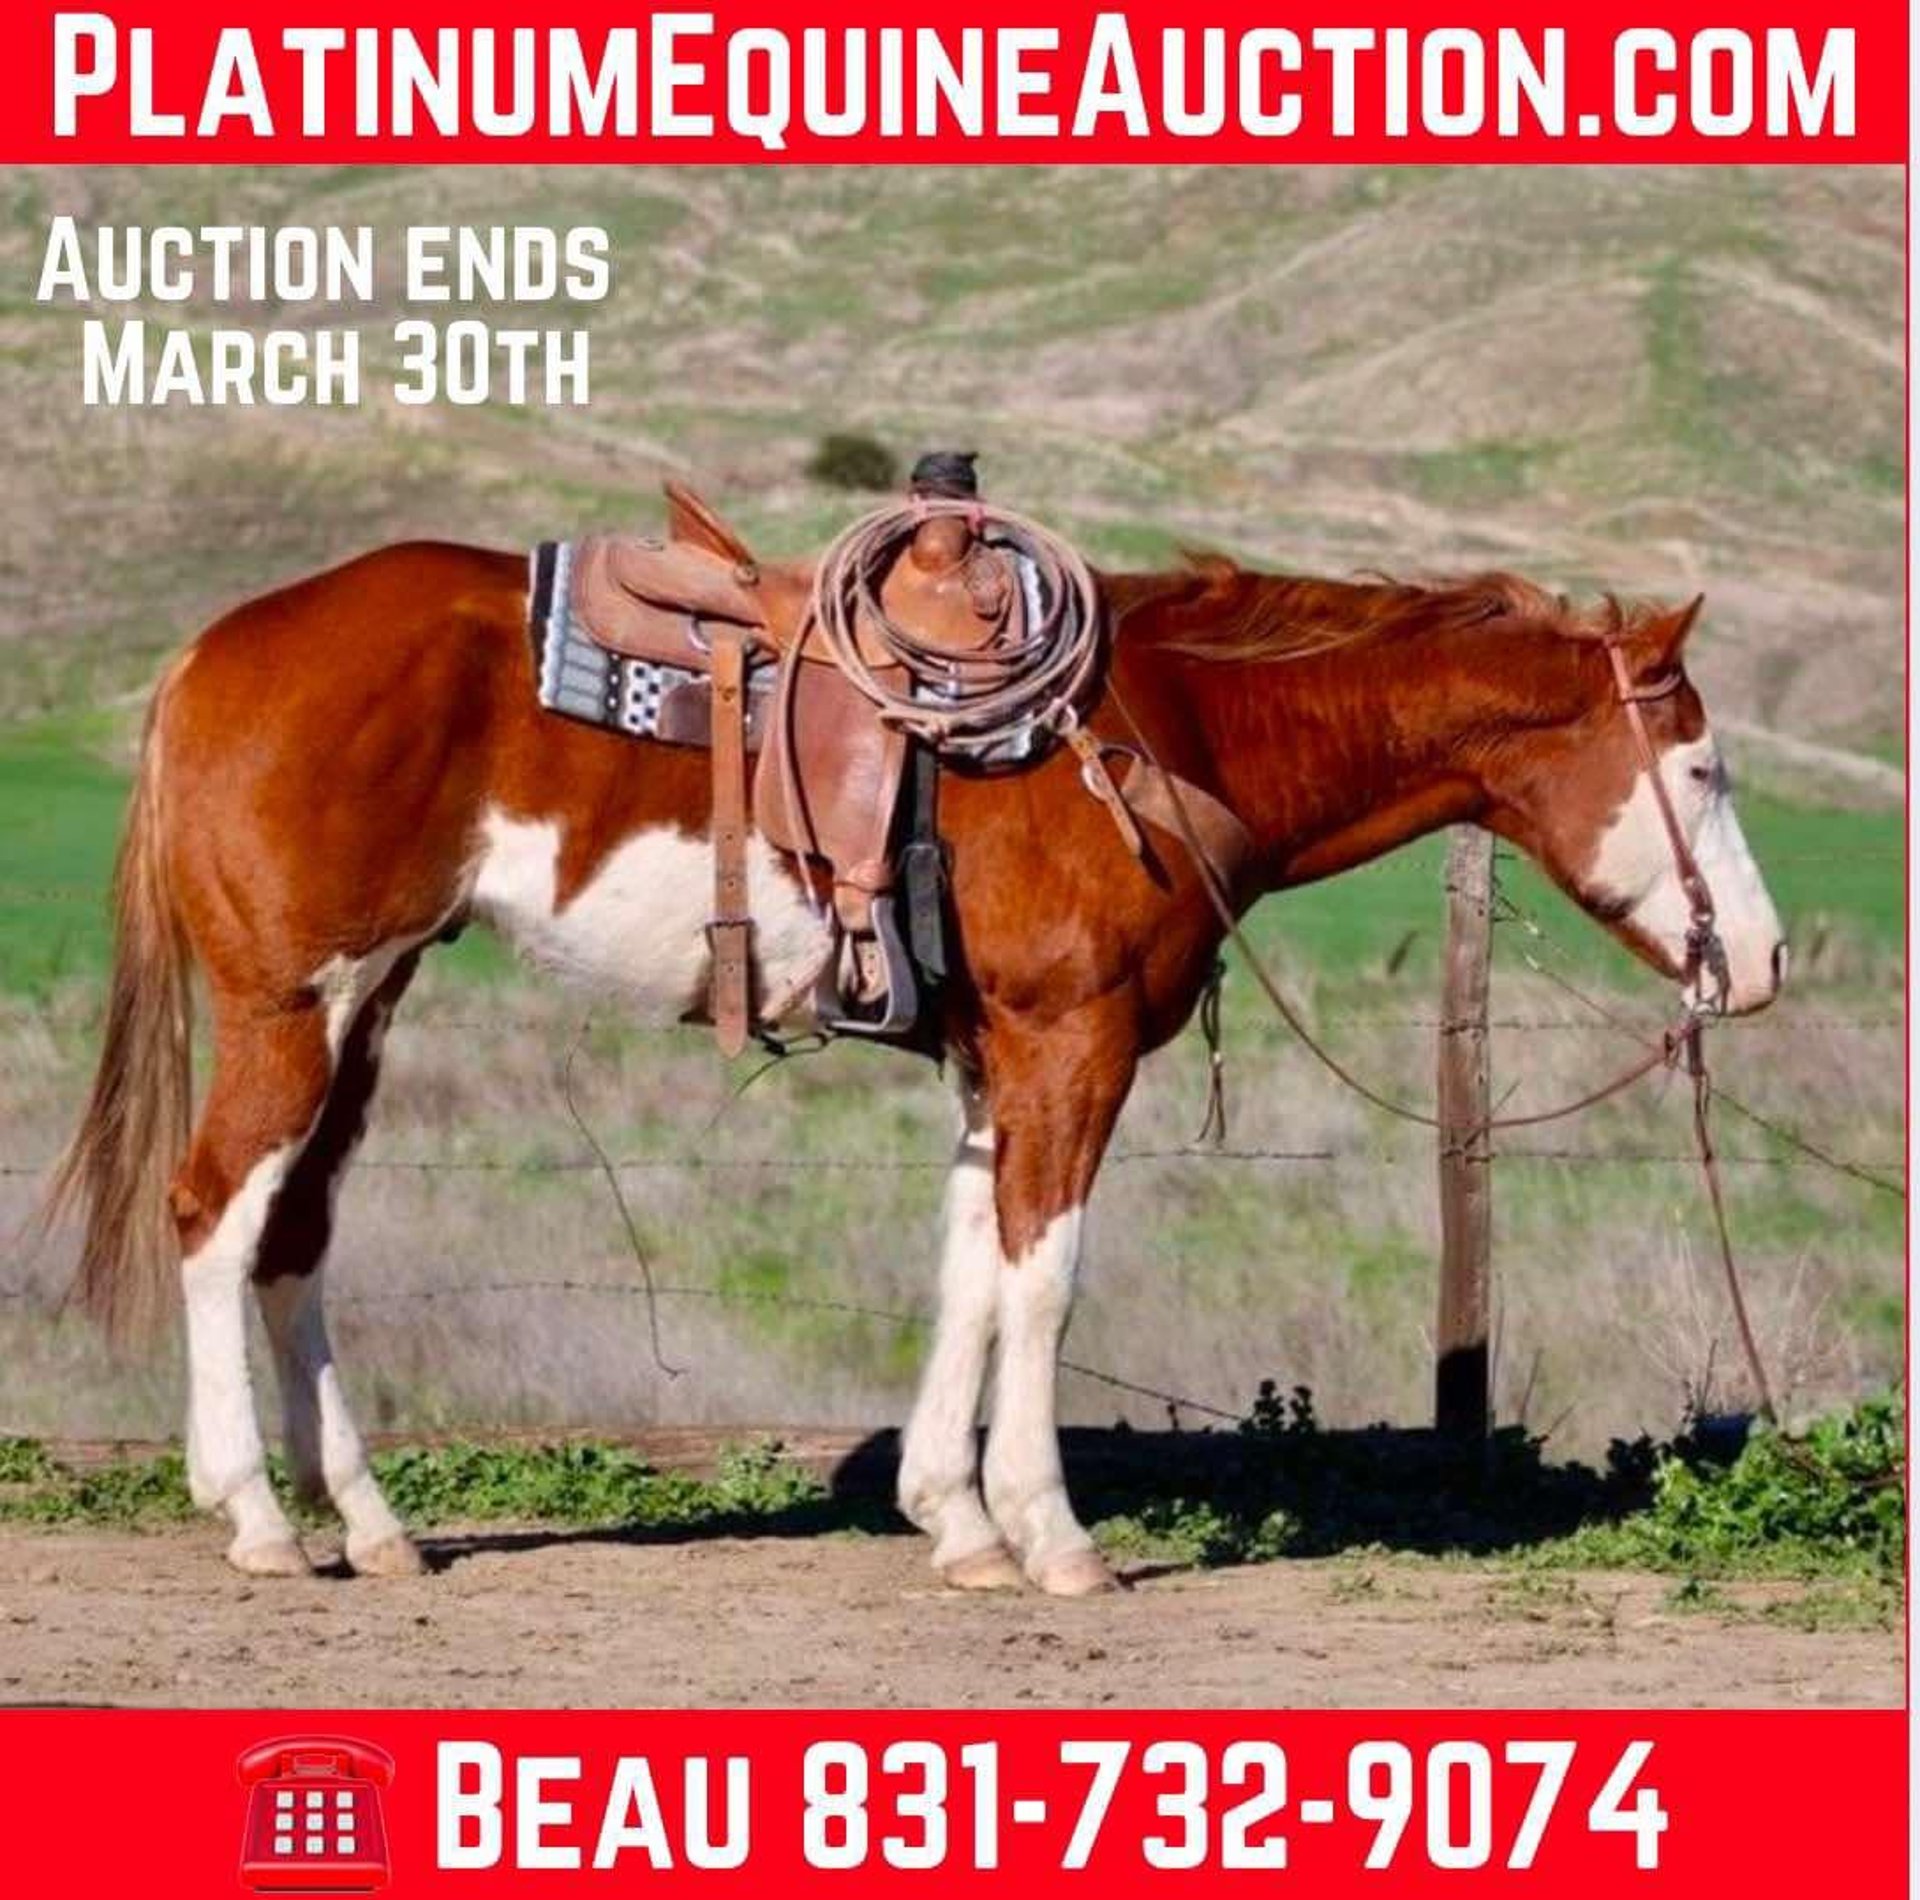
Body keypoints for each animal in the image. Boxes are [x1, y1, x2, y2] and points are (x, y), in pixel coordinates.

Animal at [48, 538, 1786, 1593]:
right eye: (1701, 768)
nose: (1763, 964)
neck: (1160, 734)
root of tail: (213, 650)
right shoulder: (1073, 1046)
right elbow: (1047, 1278)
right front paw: (1051, 1535)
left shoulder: (991, 1060)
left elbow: (971, 1270)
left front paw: (954, 1522)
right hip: (295, 1004)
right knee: (213, 1215)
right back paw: (256, 1519)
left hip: (368, 1004)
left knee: (294, 1237)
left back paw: (372, 1524)